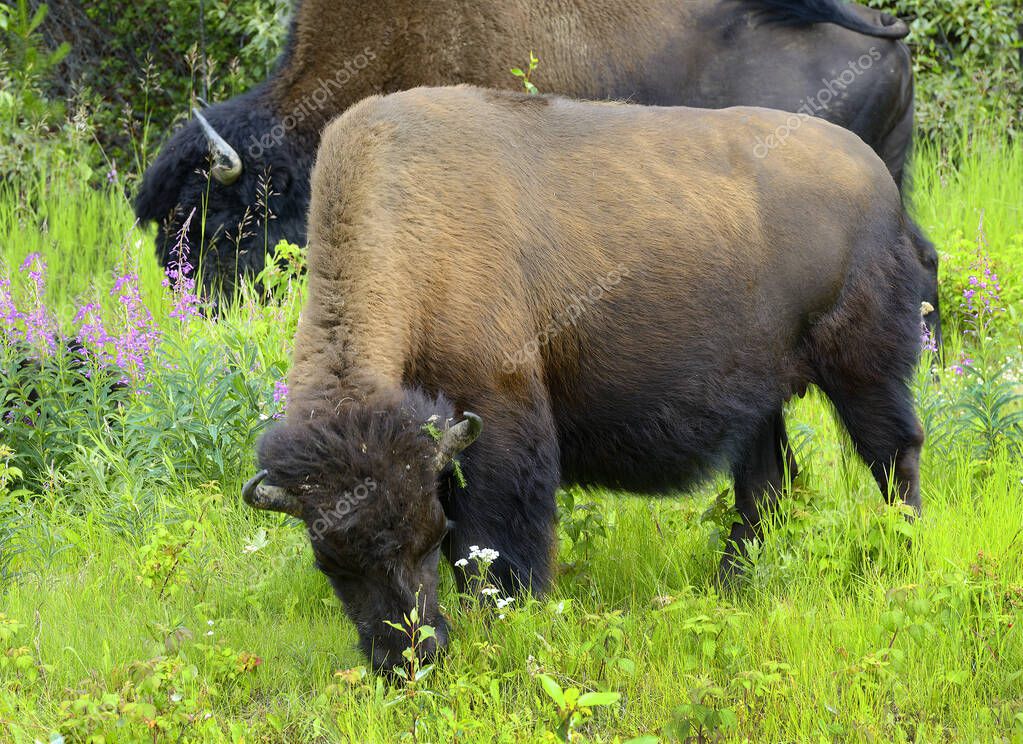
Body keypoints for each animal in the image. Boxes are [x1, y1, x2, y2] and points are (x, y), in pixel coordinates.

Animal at [244, 85, 930, 672]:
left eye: (430, 536)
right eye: (329, 560)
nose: (411, 657)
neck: (414, 226)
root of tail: (880, 183)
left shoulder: (498, 421)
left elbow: (500, 533)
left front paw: (513, 609)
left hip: (861, 372)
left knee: (893, 454)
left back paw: (901, 554)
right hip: (763, 397)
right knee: (766, 486)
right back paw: (732, 582)